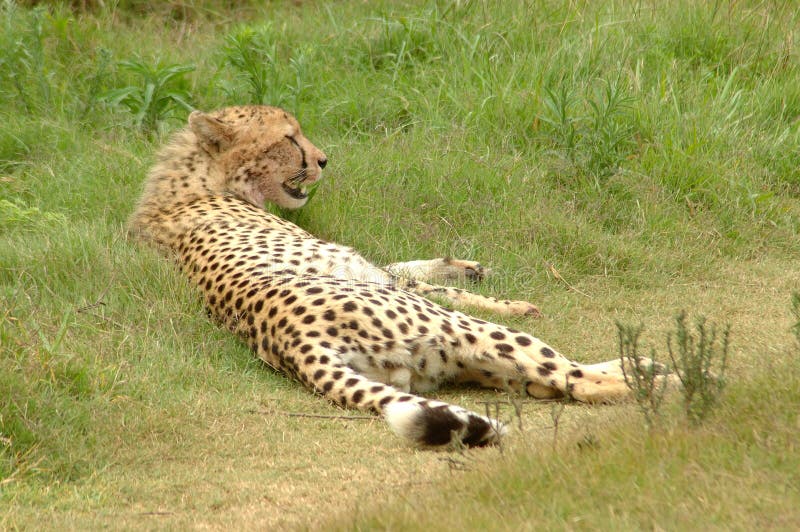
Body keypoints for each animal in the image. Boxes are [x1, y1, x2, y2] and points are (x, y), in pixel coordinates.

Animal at [129, 105, 667, 447]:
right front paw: (506, 297)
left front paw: (469, 266)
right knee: (573, 378)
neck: (197, 181)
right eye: (288, 137)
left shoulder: (364, 265)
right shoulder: (370, 274)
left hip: (440, 364)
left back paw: (638, 366)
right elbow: (424, 282)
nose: (323, 160)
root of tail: (293, 341)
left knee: (542, 379)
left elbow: (405, 265)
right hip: (457, 332)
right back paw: (663, 374)